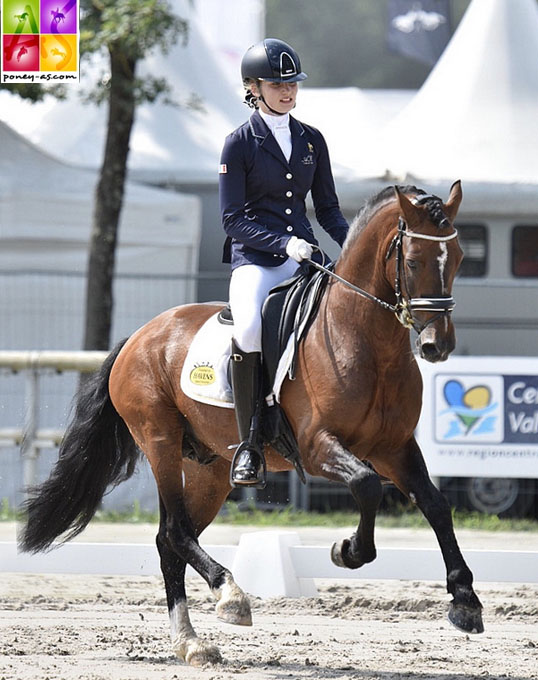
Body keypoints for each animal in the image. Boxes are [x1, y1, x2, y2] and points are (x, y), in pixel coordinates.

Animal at [19, 181, 484, 666]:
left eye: (459, 258)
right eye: (411, 261)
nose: (436, 345)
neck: (365, 341)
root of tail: (139, 336)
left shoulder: (394, 447)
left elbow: (435, 504)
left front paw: (465, 601)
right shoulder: (317, 447)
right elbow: (367, 486)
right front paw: (348, 551)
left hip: (207, 469)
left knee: (170, 541)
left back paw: (191, 642)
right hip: (159, 440)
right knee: (175, 531)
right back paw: (230, 596)